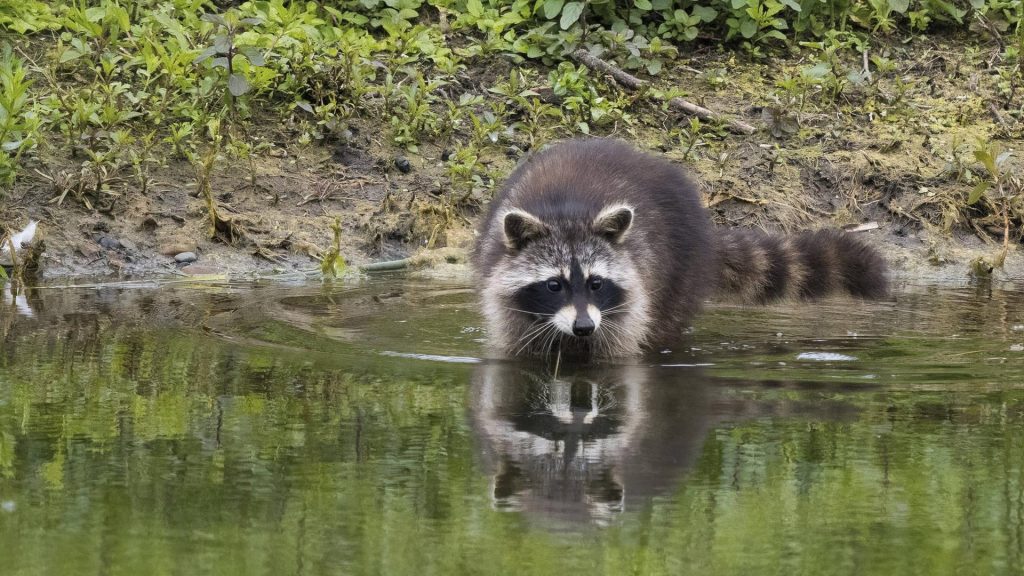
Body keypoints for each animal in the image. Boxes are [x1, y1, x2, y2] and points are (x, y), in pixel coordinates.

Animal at [471, 136, 888, 356]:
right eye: (554, 285)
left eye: (596, 283)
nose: (585, 327)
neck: (566, 213)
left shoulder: (629, 299)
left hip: (680, 275)